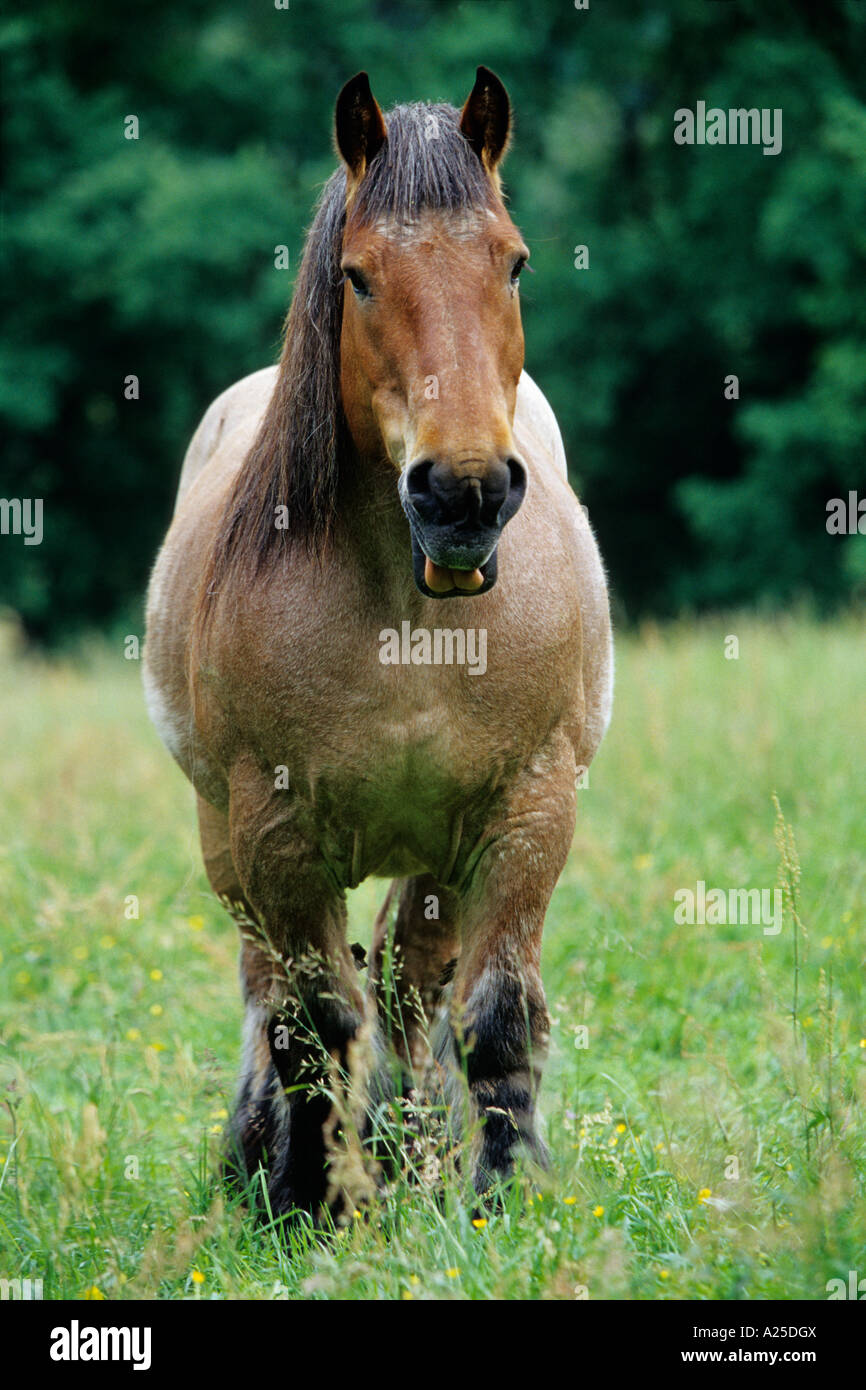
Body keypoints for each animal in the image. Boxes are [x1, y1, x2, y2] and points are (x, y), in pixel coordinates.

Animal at [143, 67, 613, 1225]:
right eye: (356, 278)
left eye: (514, 261)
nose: (464, 494)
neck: (413, 620)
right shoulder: (272, 838)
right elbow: (315, 1025)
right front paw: (311, 1202)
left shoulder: (528, 814)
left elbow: (493, 1011)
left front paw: (500, 1194)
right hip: (229, 847)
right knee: (277, 995)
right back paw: (267, 1155)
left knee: (412, 986)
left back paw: (416, 1147)